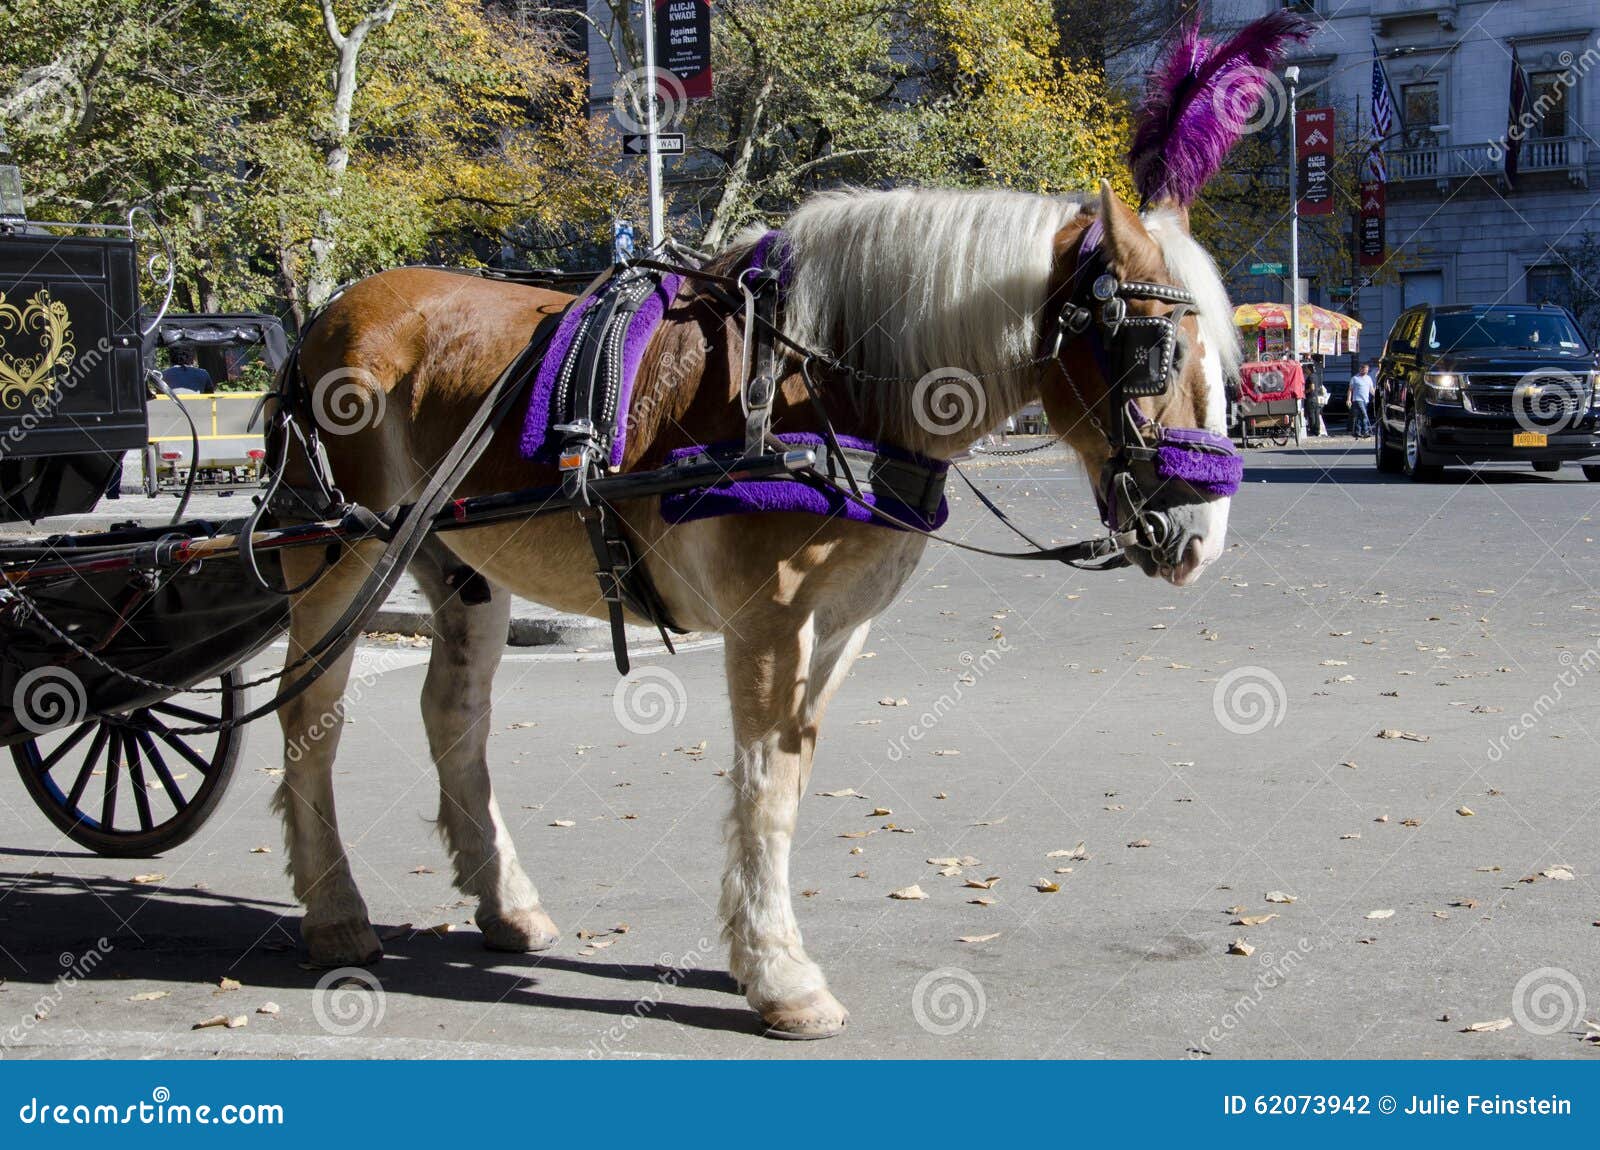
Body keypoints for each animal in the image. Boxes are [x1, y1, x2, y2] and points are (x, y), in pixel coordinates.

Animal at [268, 13, 1309, 1039]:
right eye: (1153, 351)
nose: (1201, 537)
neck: (822, 379)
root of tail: (327, 313)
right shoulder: (768, 621)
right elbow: (764, 783)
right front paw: (780, 976)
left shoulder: (840, 625)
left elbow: (793, 776)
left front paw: (757, 948)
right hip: (338, 555)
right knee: (306, 714)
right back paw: (335, 915)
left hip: (457, 564)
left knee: (453, 713)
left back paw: (505, 902)